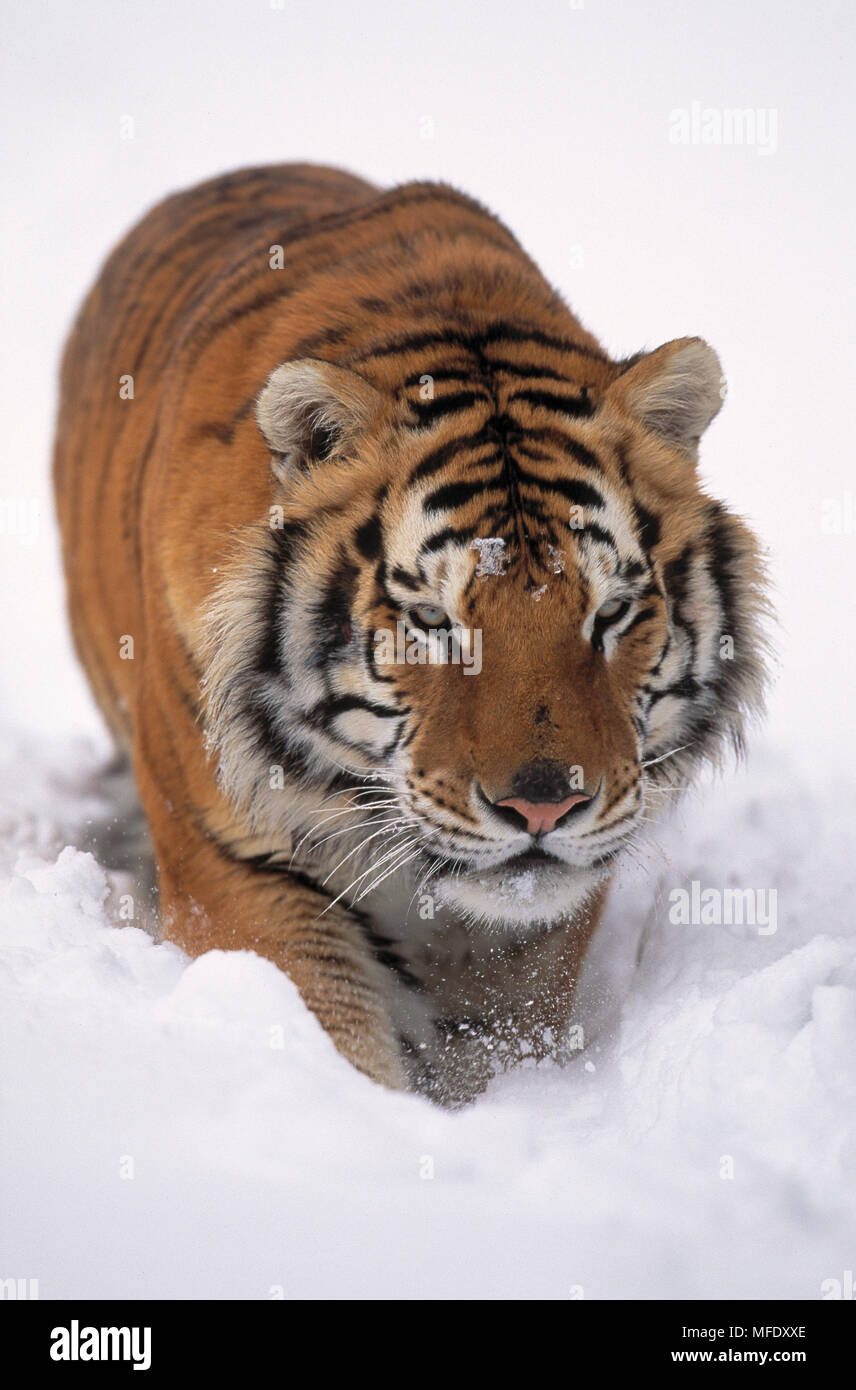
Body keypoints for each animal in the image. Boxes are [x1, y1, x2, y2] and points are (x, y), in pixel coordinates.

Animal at [54, 163, 768, 1103]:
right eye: (433, 621)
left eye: (610, 614)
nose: (545, 804)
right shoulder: (231, 860)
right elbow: (333, 1040)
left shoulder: (536, 924)